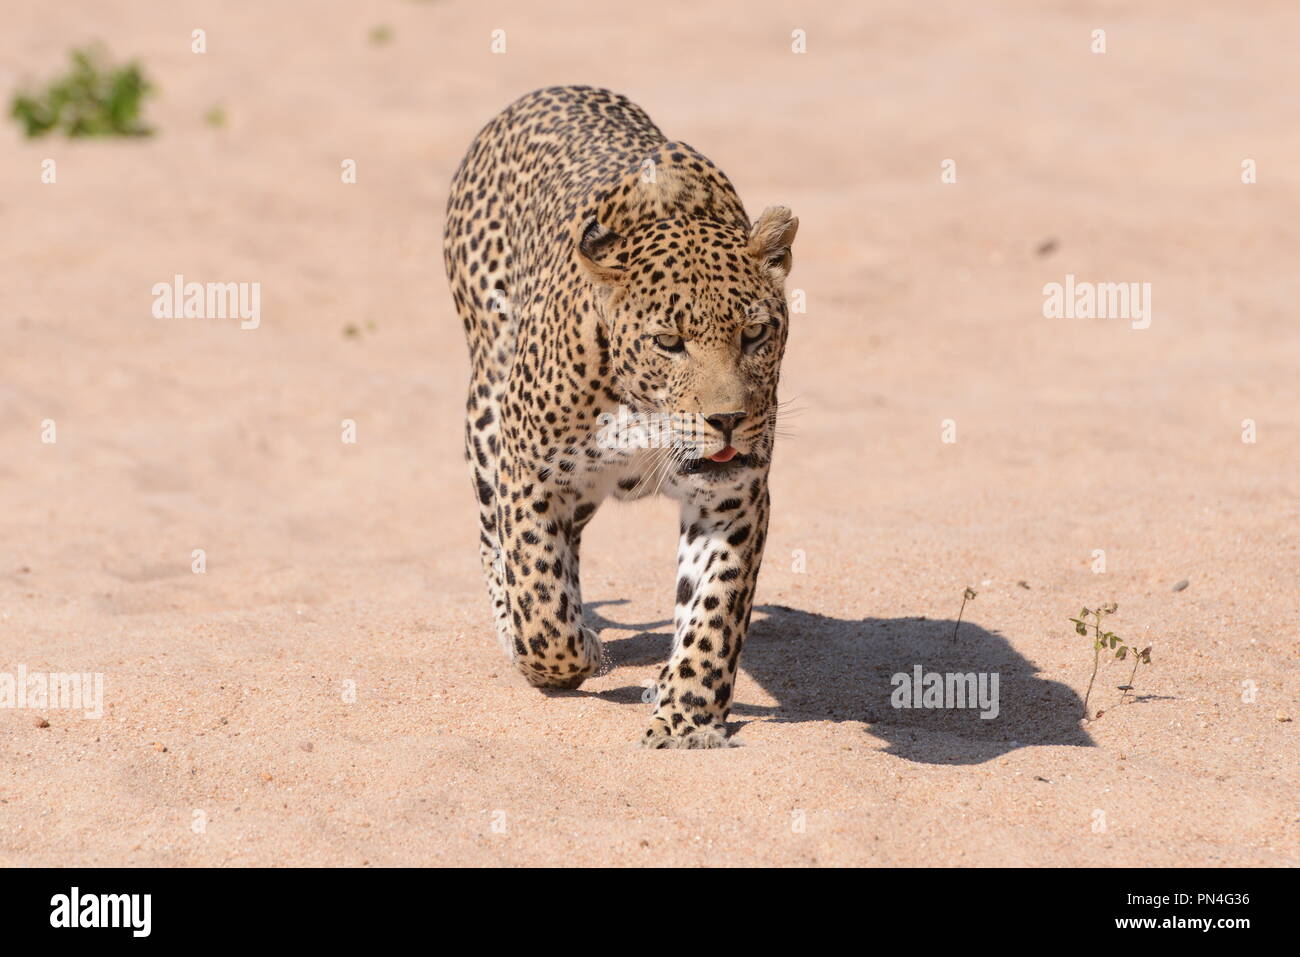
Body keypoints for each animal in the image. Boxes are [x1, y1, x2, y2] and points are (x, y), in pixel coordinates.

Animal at [443, 85, 798, 749]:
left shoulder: (733, 497)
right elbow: (540, 600)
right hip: (487, 404)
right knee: (493, 542)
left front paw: (686, 718)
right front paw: (572, 650)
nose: (729, 420)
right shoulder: (530, 475)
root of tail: (550, 89)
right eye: (669, 341)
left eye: (755, 333)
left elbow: (714, 612)